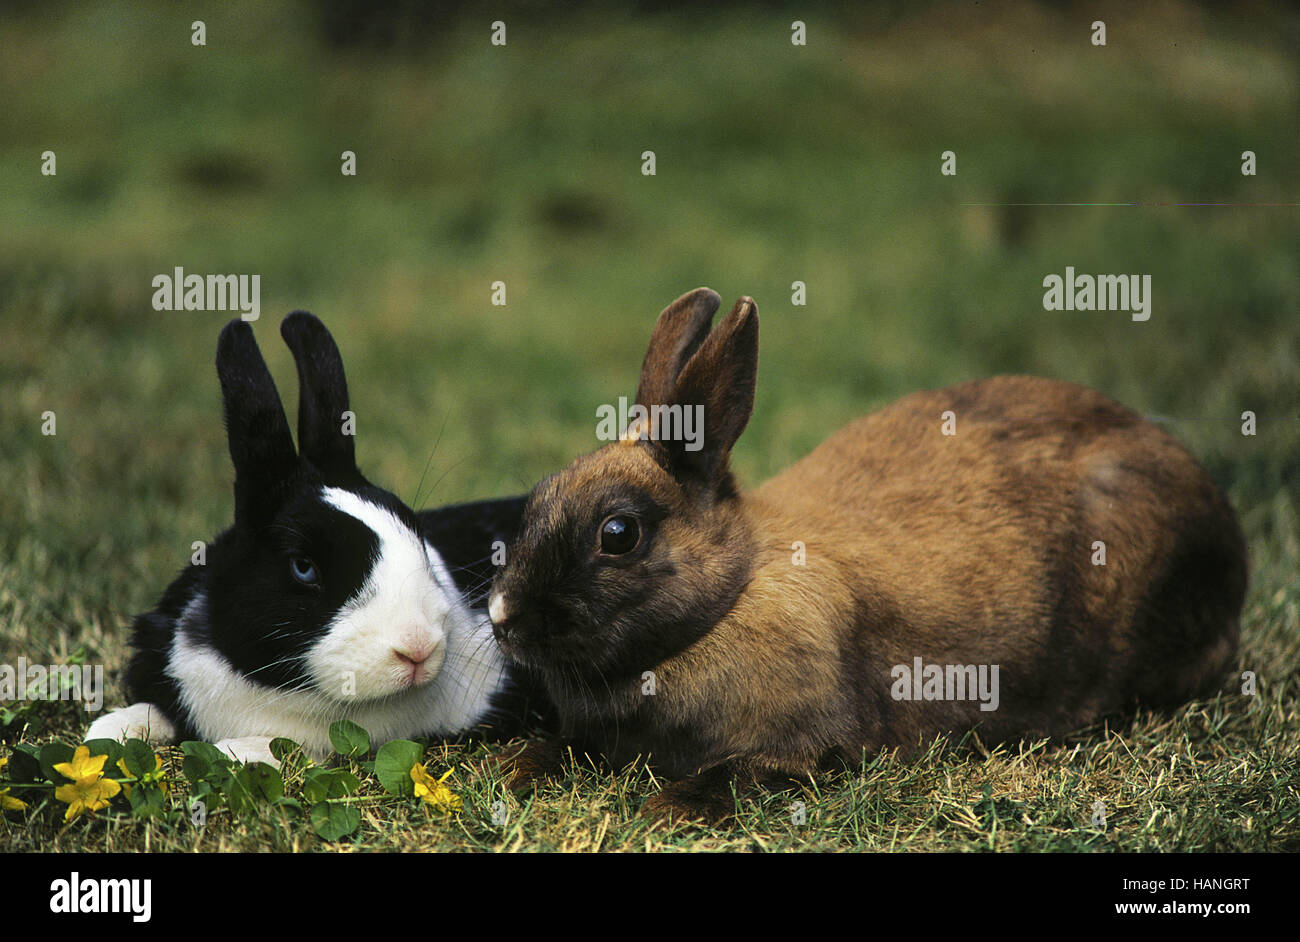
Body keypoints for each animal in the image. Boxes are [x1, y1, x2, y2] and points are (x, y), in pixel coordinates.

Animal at [86, 311, 550, 765]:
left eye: (418, 538)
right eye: (303, 567)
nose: (418, 647)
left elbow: (272, 748)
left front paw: (233, 751)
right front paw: (107, 734)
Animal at [485, 287, 1248, 821]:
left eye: (618, 534)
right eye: (539, 498)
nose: (503, 616)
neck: (727, 601)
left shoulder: (811, 745)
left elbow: (746, 770)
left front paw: (672, 808)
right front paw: (516, 770)